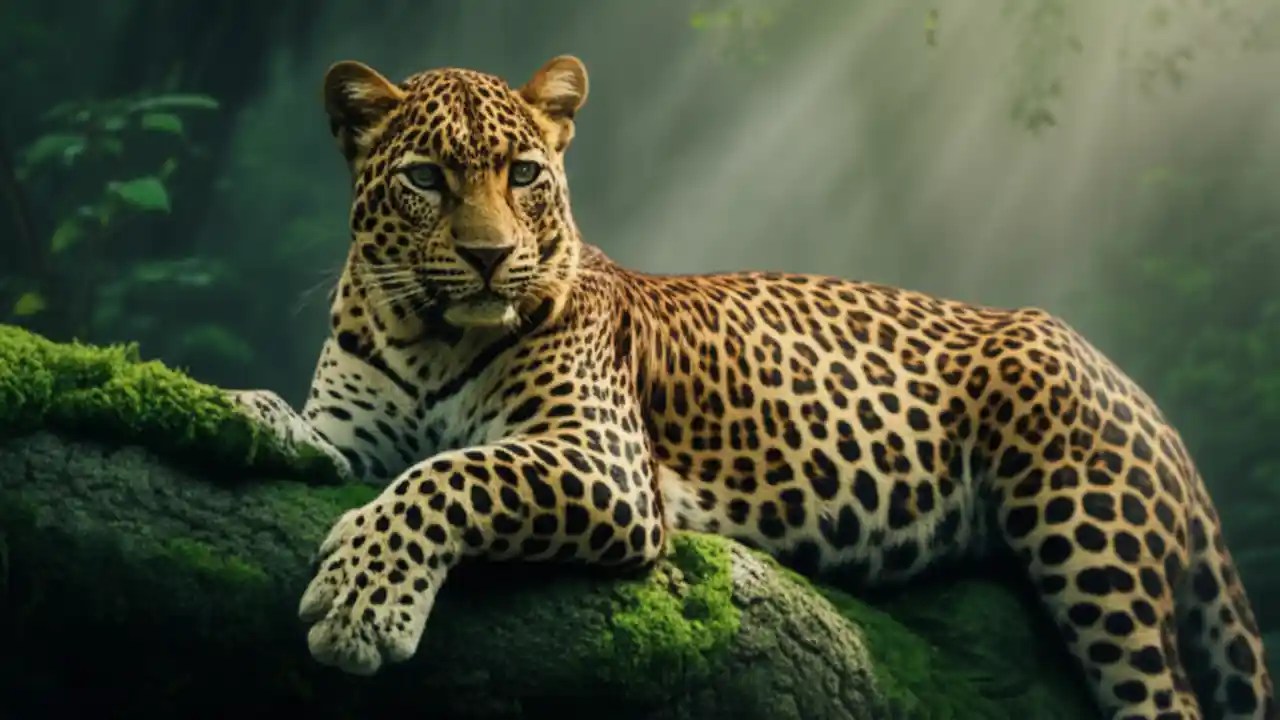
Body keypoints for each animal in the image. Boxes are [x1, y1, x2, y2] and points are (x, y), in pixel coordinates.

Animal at [232, 54, 1275, 720]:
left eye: (524, 173)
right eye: (422, 177)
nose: (491, 260)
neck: (431, 340)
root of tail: (1146, 399)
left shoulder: (606, 462)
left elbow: (450, 476)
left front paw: (361, 605)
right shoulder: (356, 430)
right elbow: (318, 431)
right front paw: (242, 411)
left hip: (1090, 540)